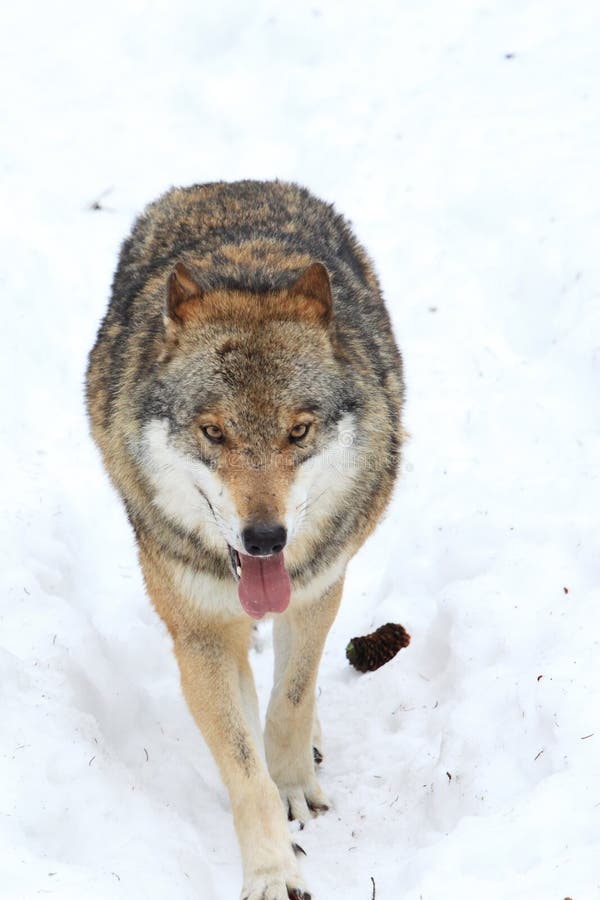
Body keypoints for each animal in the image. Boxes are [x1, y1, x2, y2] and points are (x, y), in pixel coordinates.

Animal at [86, 180, 404, 899]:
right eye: (213, 432)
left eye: (298, 430)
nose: (264, 538)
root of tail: (231, 185)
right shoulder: (199, 635)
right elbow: (242, 767)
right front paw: (271, 871)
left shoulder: (316, 589)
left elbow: (291, 700)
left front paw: (294, 785)